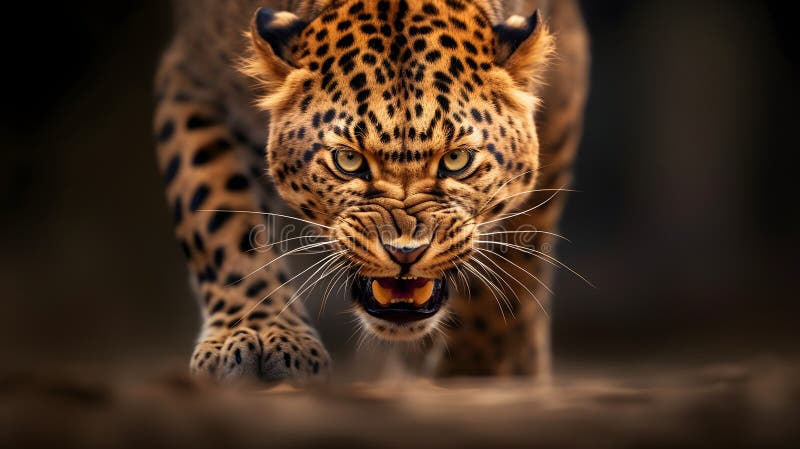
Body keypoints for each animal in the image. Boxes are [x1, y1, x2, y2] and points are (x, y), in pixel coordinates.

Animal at [154, 0, 588, 384]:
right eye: (349, 160)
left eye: (456, 160)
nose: (405, 253)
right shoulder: (192, 79)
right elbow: (220, 216)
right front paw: (259, 333)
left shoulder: (564, 87)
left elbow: (513, 259)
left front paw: (484, 368)